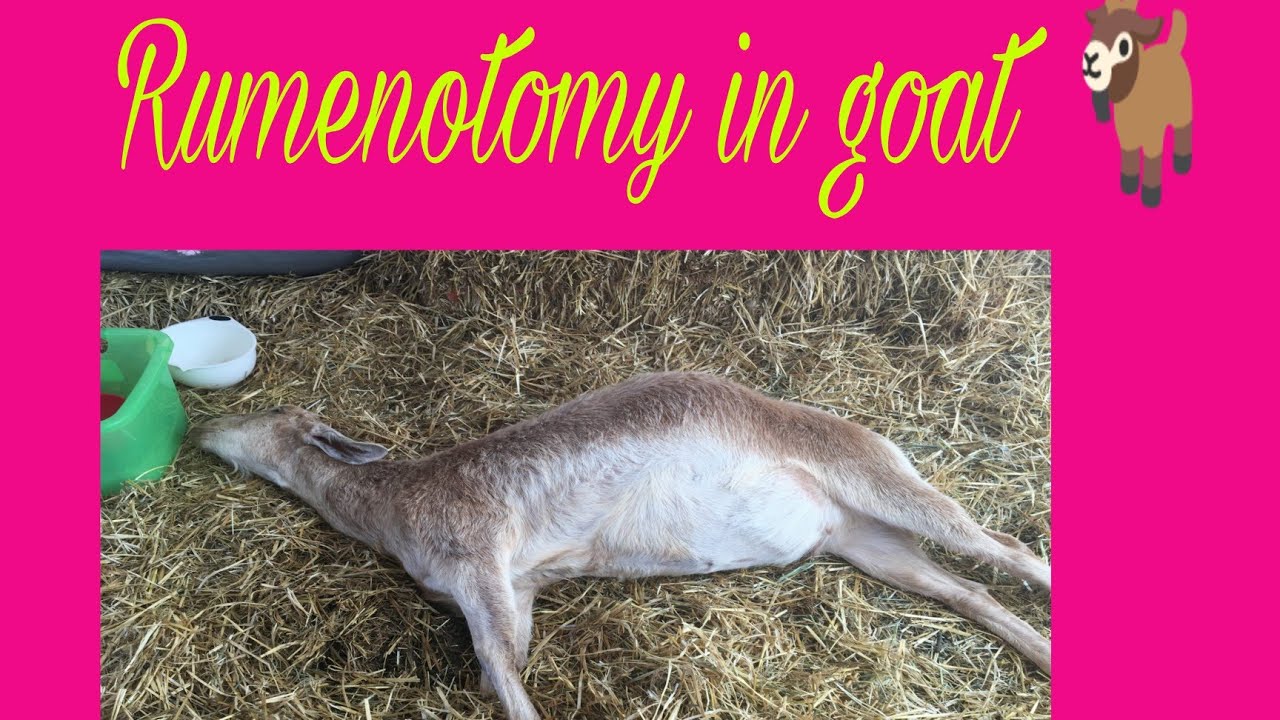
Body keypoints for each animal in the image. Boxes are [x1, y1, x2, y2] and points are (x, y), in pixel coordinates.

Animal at [193, 371, 1051, 720]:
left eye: (267, 414)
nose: (201, 428)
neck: (396, 505)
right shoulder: (512, 586)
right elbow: (506, 659)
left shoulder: (482, 556)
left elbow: (498, 666)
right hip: (863, 539)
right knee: (964, 587)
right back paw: (1039, 655)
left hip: (878, 480)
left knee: (1002, 545)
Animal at [1083, 0, 1193, 208]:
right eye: (1094, 32)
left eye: (1124, 46)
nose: (1089, 59)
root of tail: (1171, 48)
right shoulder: (1126, 138)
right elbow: (1130, 159)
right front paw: (1128, 185)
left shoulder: (1153, 137)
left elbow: (1152, 160)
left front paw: (1150, 196)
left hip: (1184, 112)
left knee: (1183, 131)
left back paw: (1182, 163)